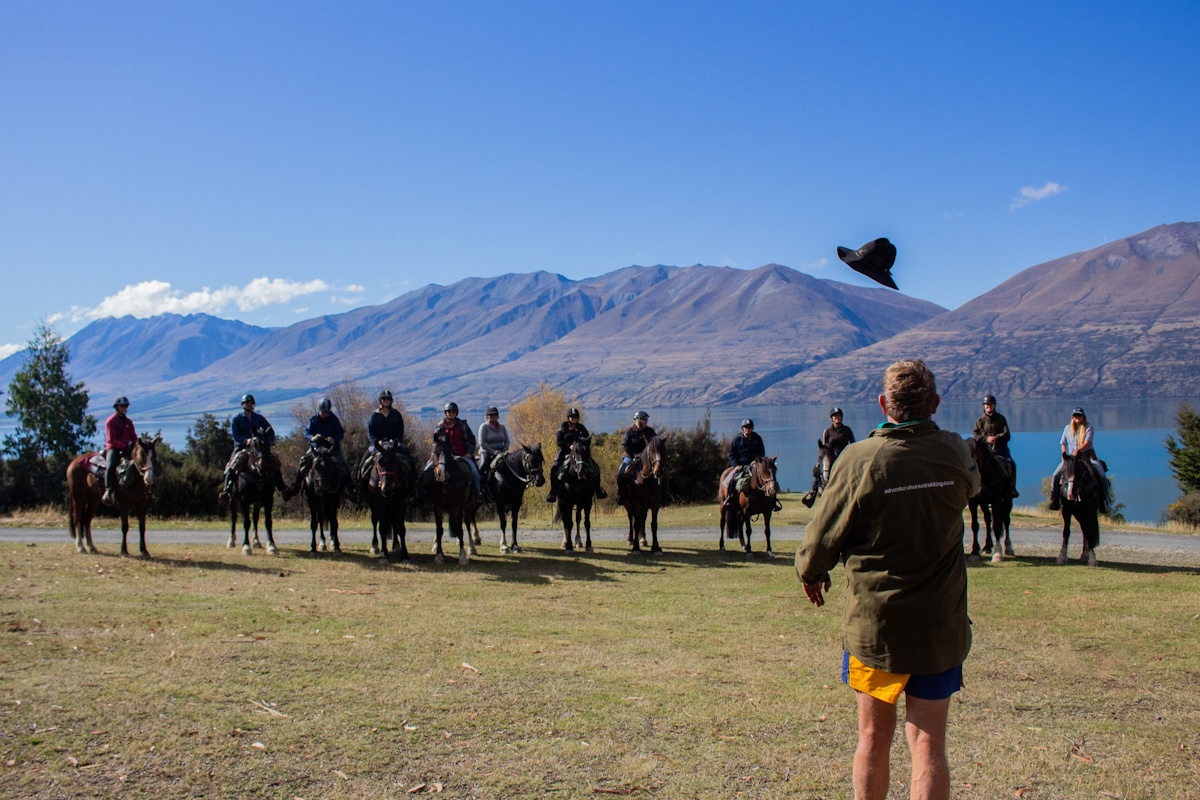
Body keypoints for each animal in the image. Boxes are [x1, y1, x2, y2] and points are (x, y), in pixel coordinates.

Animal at [421, 431, 471, 566]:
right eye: (435, 452)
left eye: (449, 453)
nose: (441, 474)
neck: (446, 484)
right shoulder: (437, 508)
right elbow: (439, 530)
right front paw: (439, 555)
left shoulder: (458, 508)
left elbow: (460, 530)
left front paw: (462, 556)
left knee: (467, 524)